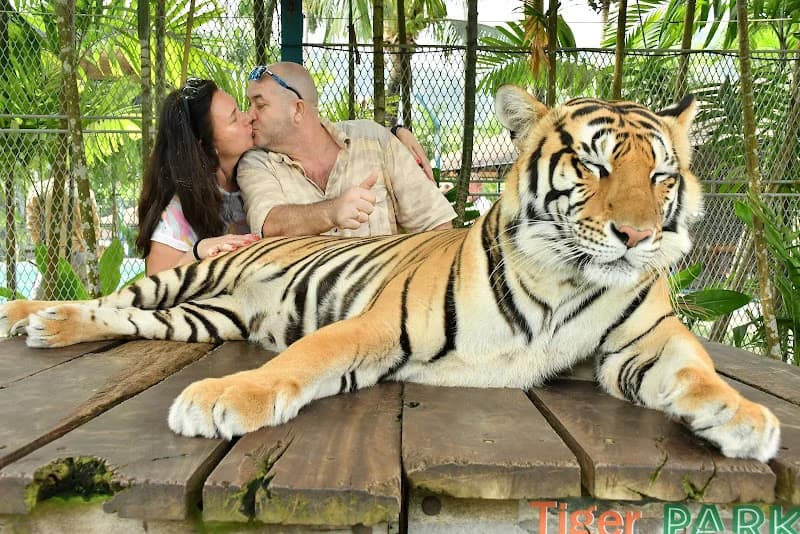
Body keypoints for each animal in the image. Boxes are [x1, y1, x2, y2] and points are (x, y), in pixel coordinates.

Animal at [0, 85, 780, 463]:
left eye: (661, 175)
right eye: (591, 165)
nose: (639, 237)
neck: (568, 281)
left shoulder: (642, 343)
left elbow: (697, 369)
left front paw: (743, 418)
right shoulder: (379, 324)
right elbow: (302, 358)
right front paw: (222, 397)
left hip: (200, 319)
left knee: (127, 317)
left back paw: (52, 326)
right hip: (183, 281)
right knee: (115, 293)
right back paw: (23, 314)